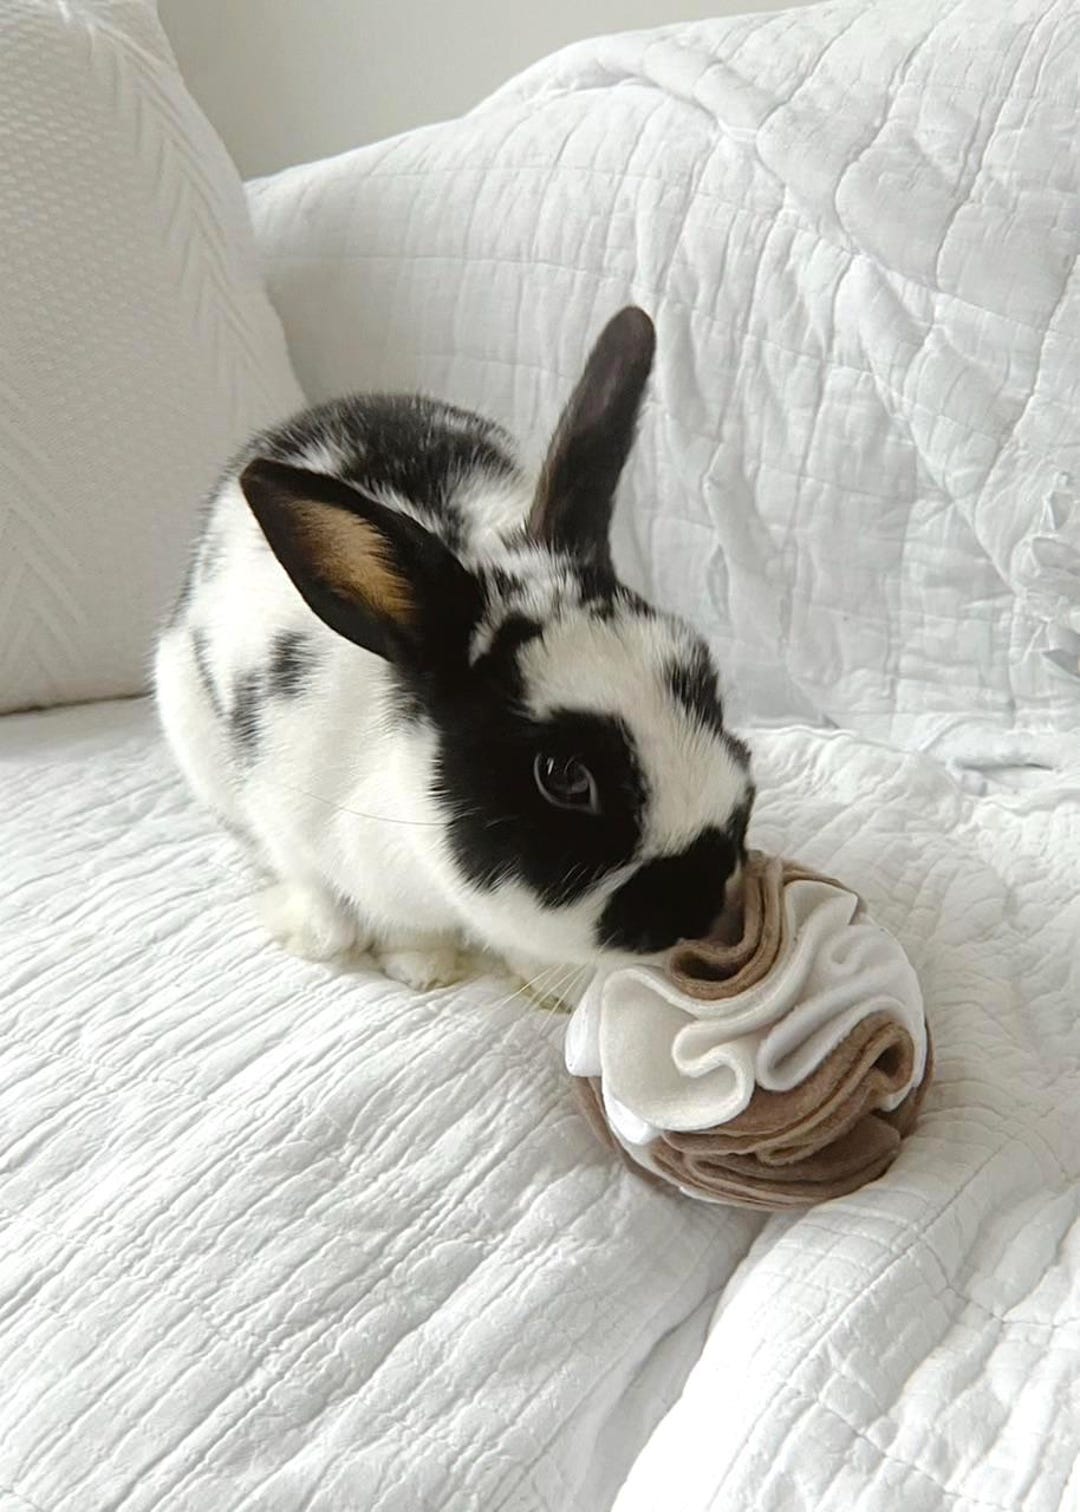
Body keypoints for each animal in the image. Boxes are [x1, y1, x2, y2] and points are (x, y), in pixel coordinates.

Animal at [154, 307, 754, 994]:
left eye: (703, 685)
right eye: (564, 777)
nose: (708, 902)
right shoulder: (287, 818)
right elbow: (341, 903)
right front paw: (419, 967)